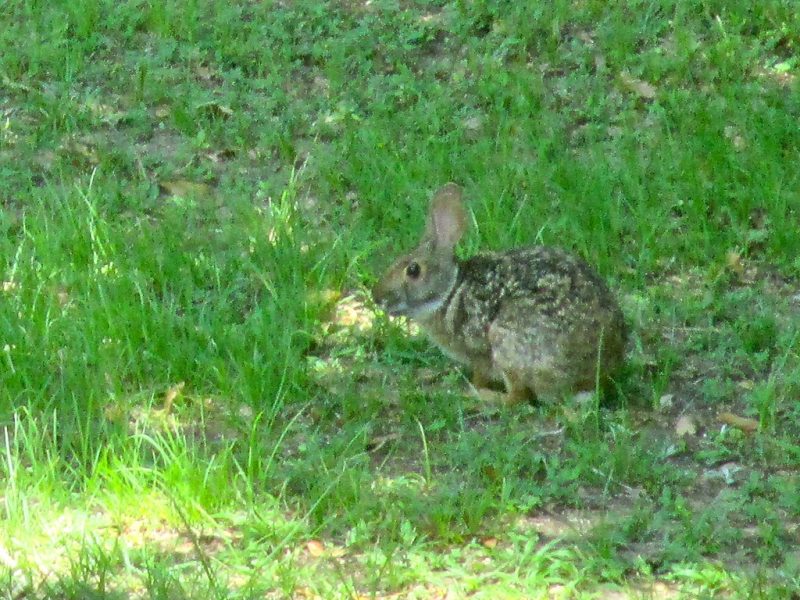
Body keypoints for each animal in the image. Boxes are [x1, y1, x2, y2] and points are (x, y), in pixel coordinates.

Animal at [371, 183, 626, 404]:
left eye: (413, 270)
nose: (377, 297)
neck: (450, 291)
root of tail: (593, 377)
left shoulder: (478, 351)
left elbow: (481, 373)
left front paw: (473, 386)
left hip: (508, 343)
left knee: (517, 399)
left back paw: (480, 396)